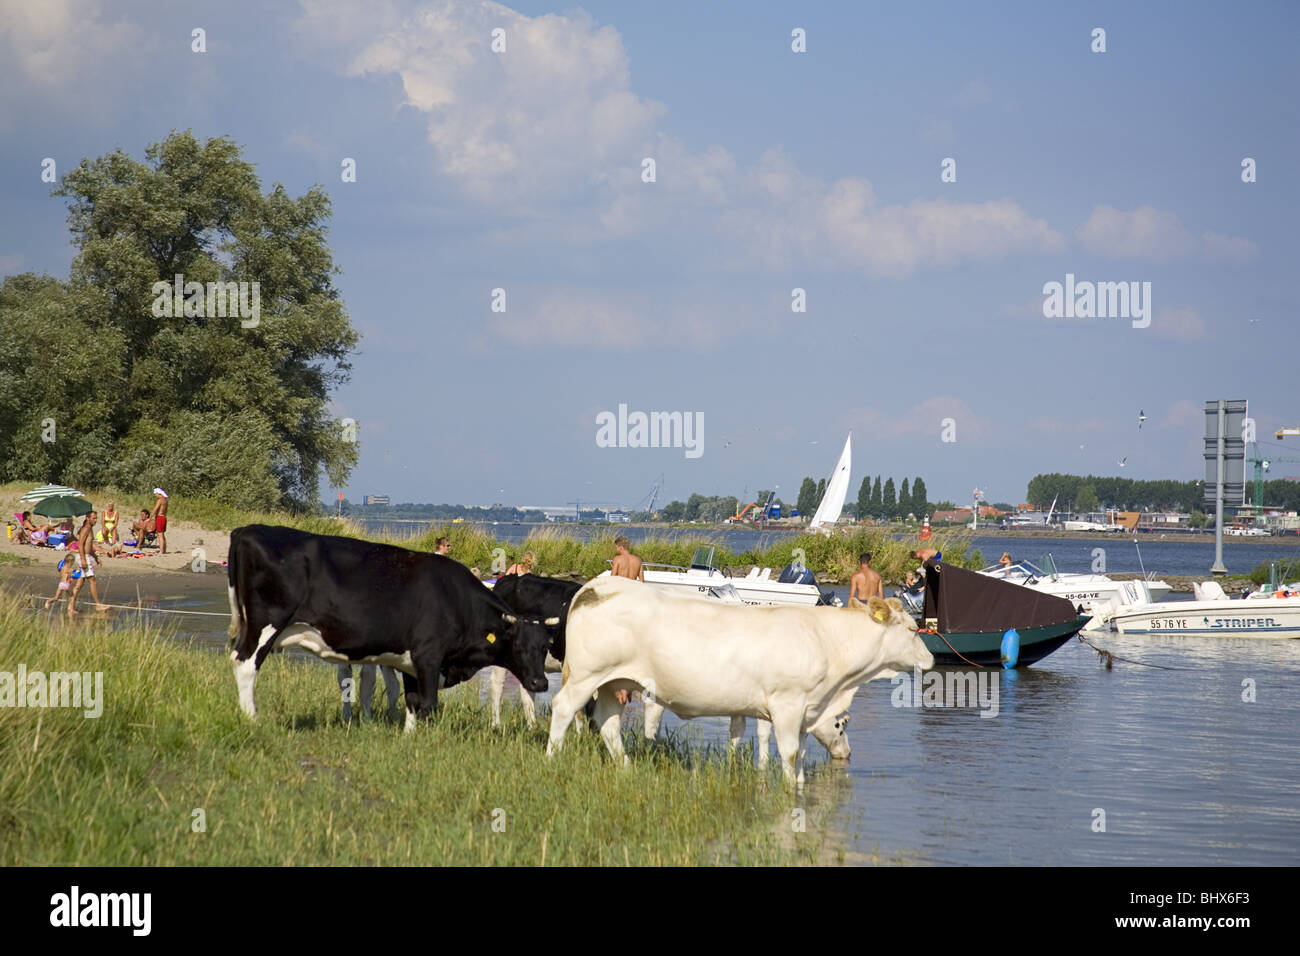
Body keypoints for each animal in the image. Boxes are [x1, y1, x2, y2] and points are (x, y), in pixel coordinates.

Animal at [227, 525, 552, 729]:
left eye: (544, 647)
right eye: (518, 645)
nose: (541, 683)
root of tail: (248, 529)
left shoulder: (410, 661)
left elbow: (412, 701)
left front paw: (408, 737)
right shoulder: (429, 655)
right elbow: (428, 703)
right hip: (265, 626)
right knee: (245, 664)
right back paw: (252, 718)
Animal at [547, 575, 934, 784]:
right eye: (913, 629)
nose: (930, 659)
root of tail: (597, 585)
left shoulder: (803, 710)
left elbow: (798, 754)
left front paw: (799, 787)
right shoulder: (786, 704)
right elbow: (787, 752)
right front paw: (787, 794)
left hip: (613, 681)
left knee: (607, 722)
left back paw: (626, 766)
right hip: (586, 675)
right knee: (563, 708)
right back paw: (552, 756)